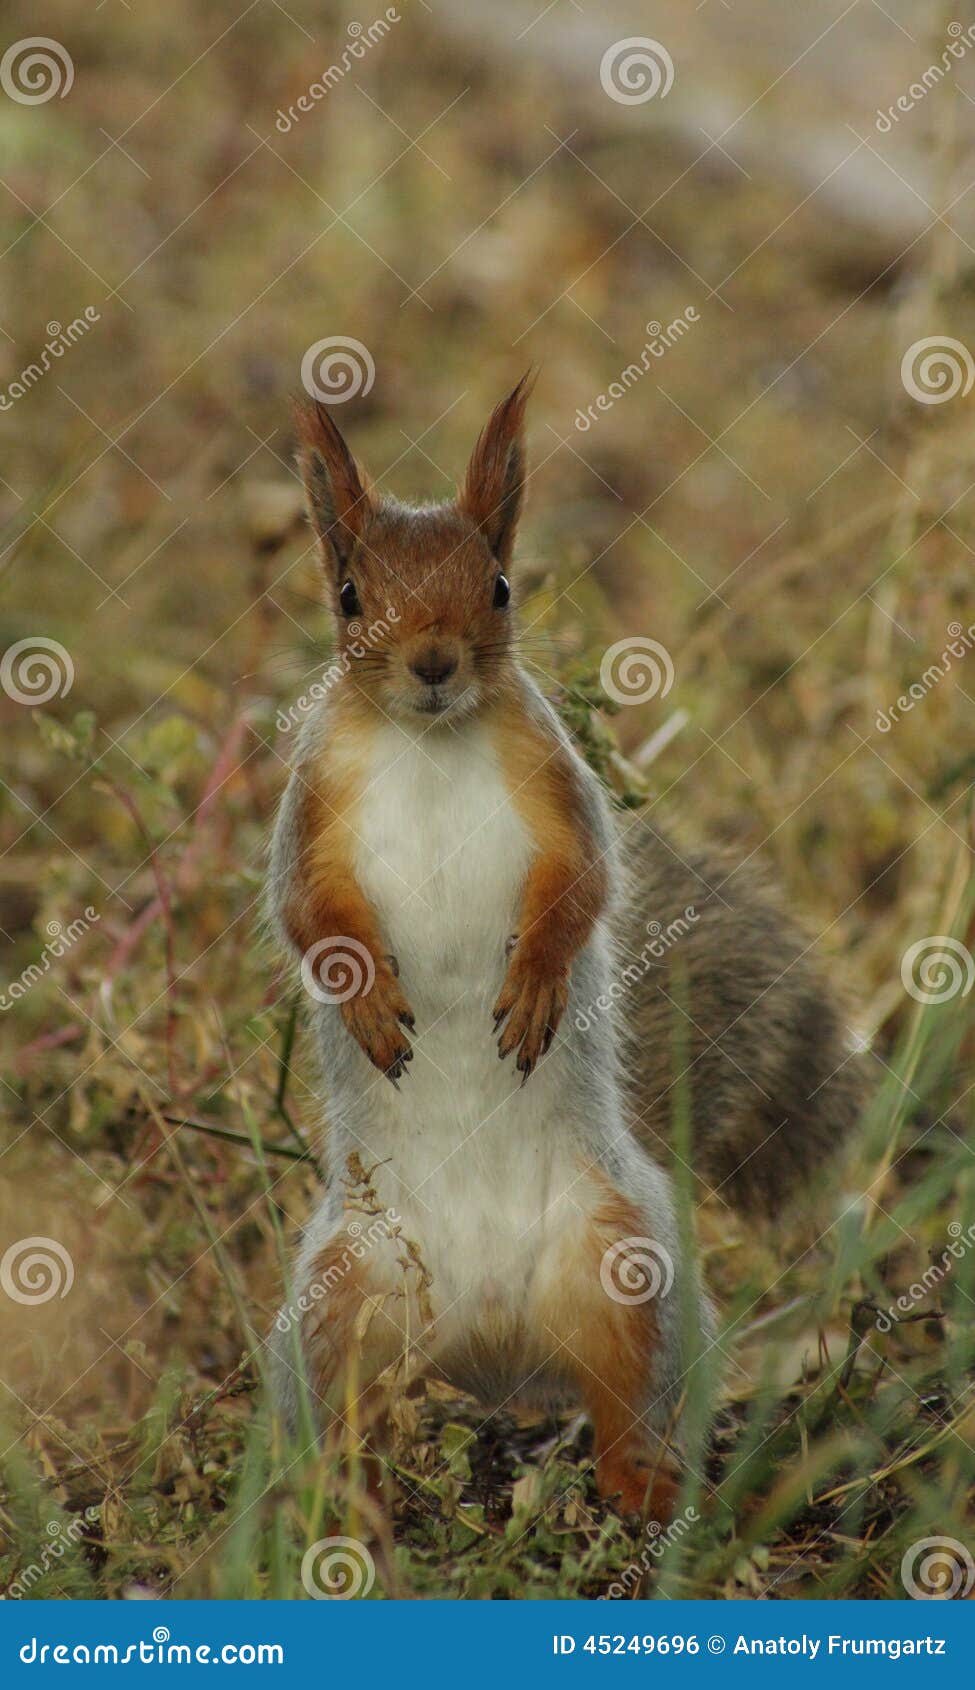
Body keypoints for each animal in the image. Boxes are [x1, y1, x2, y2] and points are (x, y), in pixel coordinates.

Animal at [268, 373, 865, 1521]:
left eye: (499, 586)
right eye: (352, 594)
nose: (435, 663)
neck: (431, 740)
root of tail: (494, 1349)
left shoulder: (553, 787)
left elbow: (581, 886)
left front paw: (538, 982)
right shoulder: (312, 811)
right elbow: (310, 914)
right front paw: (363, 1000)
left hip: (622, 1262)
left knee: (630, 1396)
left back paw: (645, 1483)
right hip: (346, 1292)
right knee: (351, 1408)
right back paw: (342, 1496)